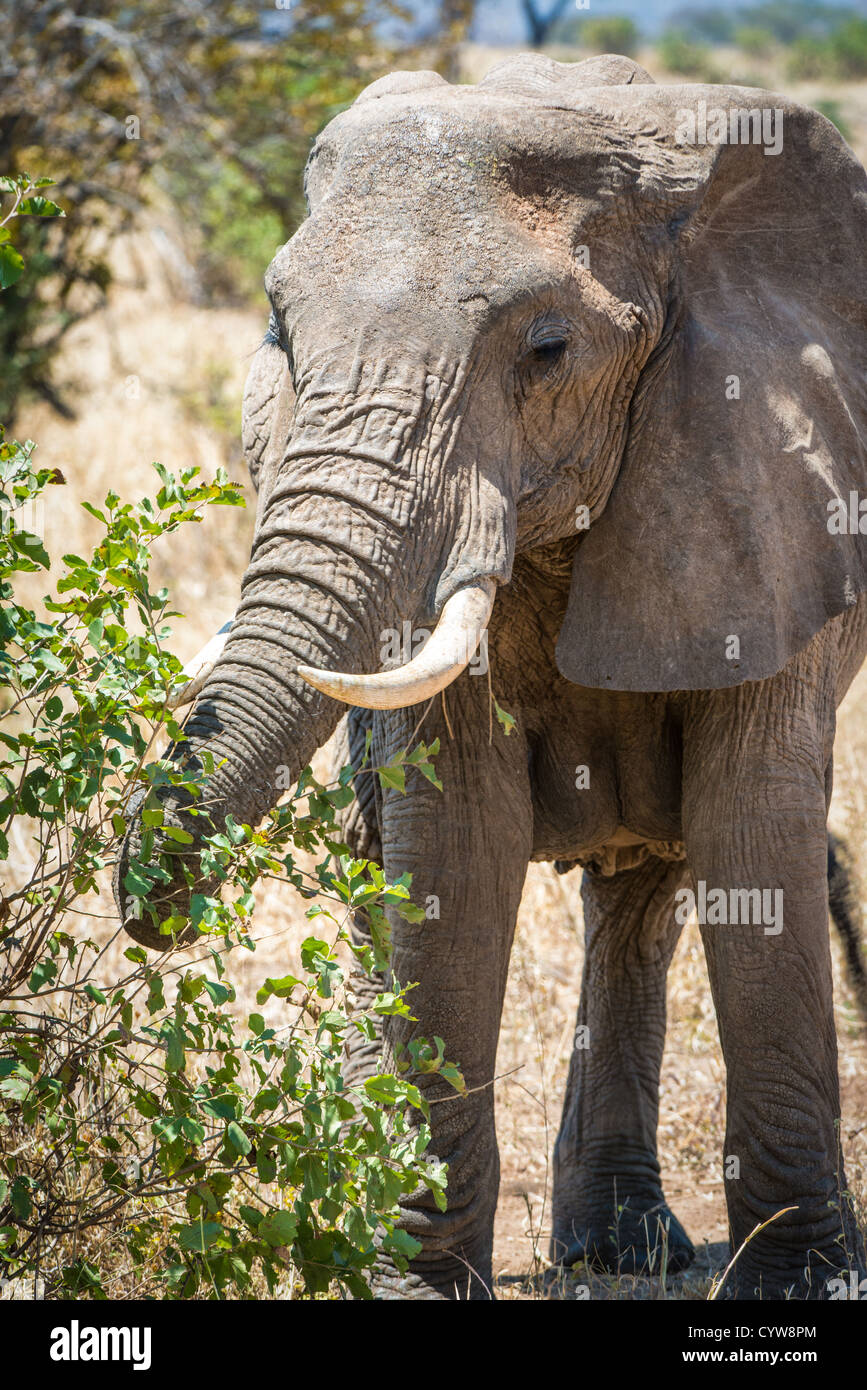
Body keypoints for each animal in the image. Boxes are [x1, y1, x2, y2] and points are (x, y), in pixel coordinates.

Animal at [114, 52, 867, 1299]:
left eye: (548, 349)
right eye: (277, 327)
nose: (150, 916)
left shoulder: (778, 482)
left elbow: (752, 823)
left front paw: (806, 1280)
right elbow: (453, 835)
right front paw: (412, 1281)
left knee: (644, 891)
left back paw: (625, 1247)